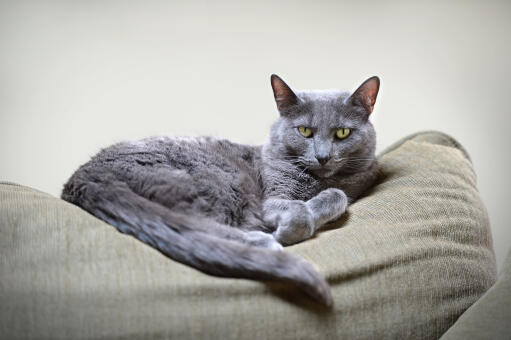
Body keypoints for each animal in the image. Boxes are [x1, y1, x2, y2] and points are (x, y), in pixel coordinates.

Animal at [61, 74, 380, 306]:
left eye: (342, 133)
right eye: (304, 131)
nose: (323, 156)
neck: (318, 180)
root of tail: (82, 179)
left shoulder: (360, 179)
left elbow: (339, 195)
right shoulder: (271, 198)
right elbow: (299, 208)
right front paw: (292, 227)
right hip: (216, 181)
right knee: (193, 226)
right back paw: (264, 242)